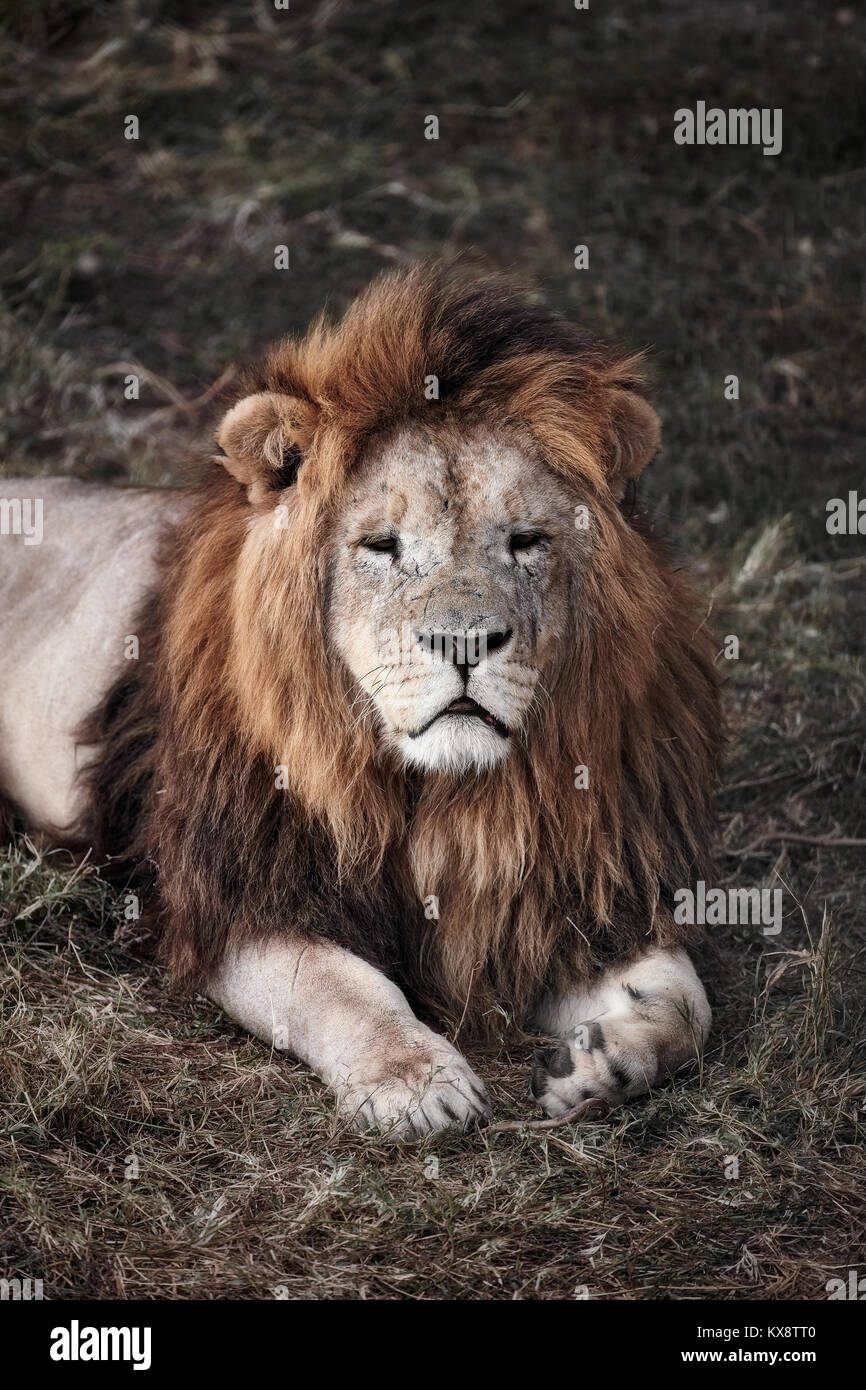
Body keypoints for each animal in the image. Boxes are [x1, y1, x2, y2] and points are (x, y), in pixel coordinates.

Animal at [0, 264, 721, 1138]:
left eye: (527, 541)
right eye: (382, 545)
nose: (464, 644)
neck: (437, 791)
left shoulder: (576, 891)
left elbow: (686, 1006)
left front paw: (594, 1065)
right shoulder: (235, 897)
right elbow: (341, 989)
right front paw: (416, 1082)